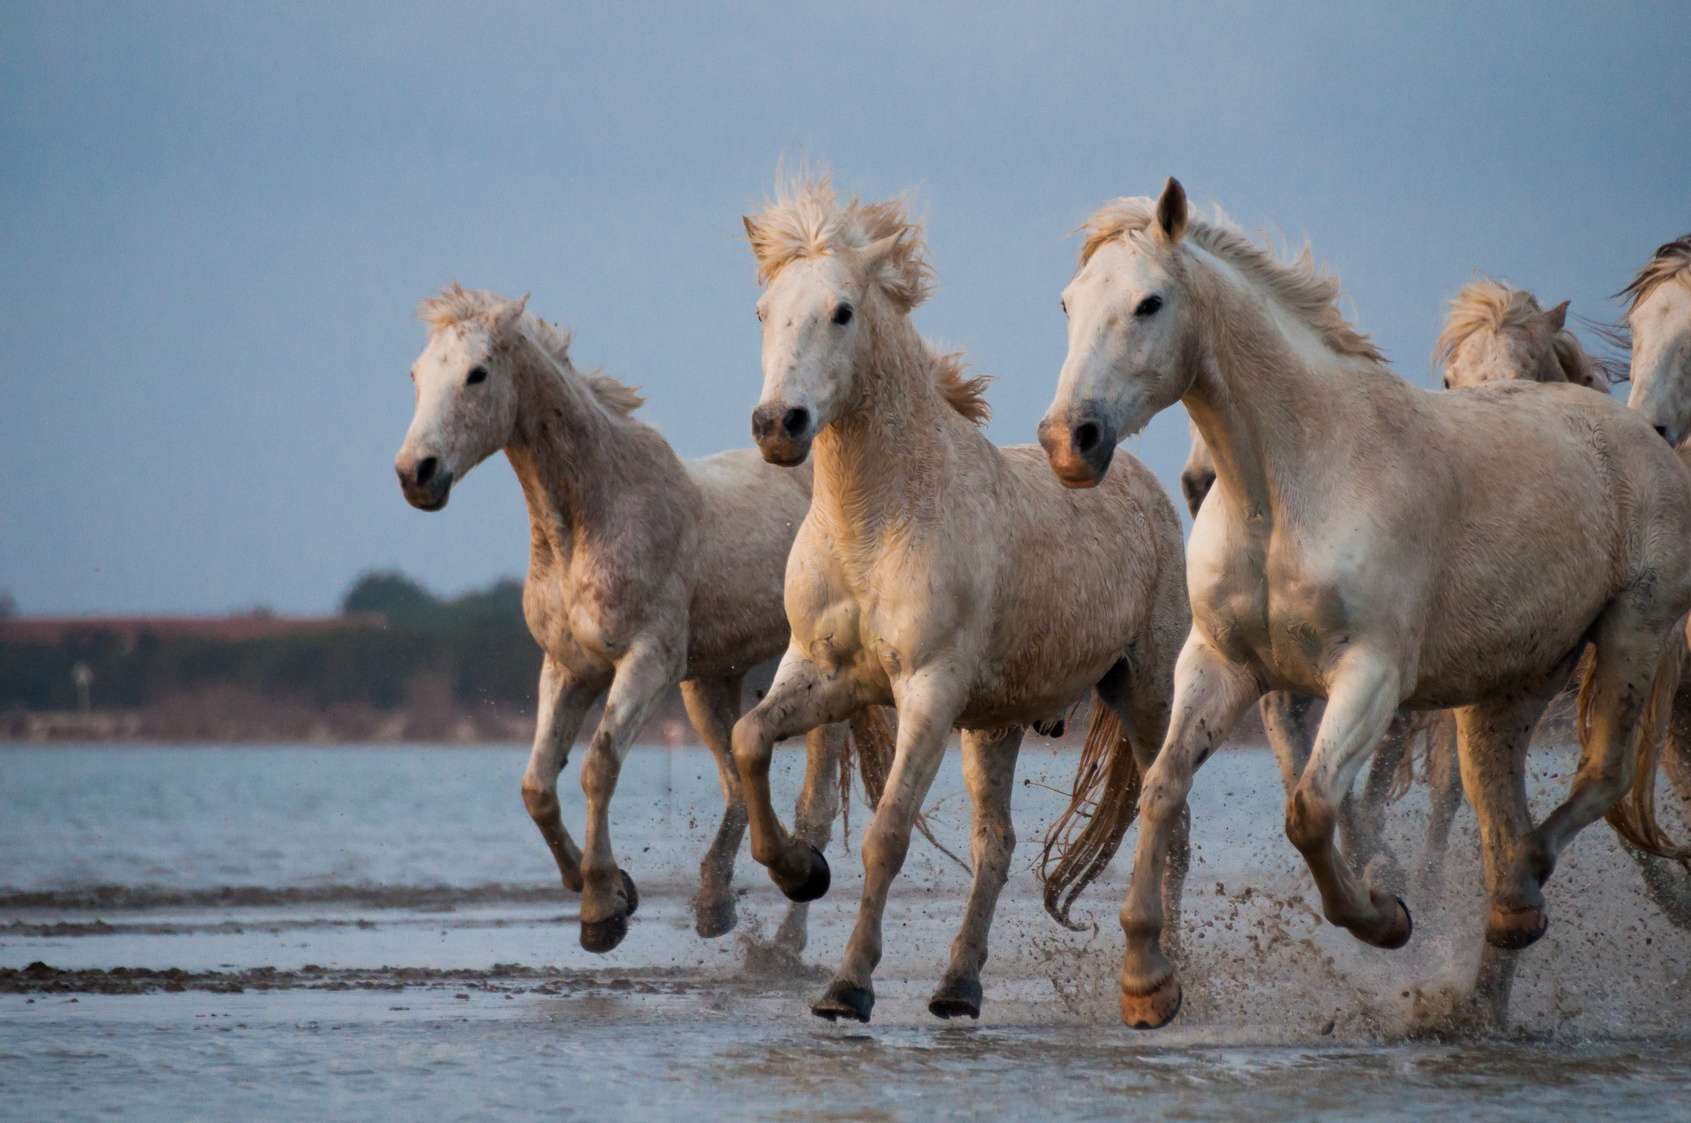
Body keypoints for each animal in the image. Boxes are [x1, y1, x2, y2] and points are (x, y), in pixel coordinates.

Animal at [392, 284, 892, 956]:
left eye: (477, 374)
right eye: (417, 375)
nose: (416, 474)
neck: (591, 519)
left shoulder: (645, 662)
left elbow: (598, 766)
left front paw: (601, 908)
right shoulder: (569, 667)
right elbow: (537, 785)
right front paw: (608, 886)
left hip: (812, 686)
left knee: (811, 808)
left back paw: (787, 930)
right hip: (709, 682)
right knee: (737, 783)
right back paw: (714, 904)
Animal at [729, 175, 1191, 1023]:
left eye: (841, 311)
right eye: (763, 310)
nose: (779, 424)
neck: (876, 520)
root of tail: (1144, 486)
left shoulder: (928, 691)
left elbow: (886, 834)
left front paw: (848, 986)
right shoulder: (821, 671)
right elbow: (749, 738)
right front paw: (799, 868)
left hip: (1147, 692)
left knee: (1168, 829)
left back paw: (1165, 979)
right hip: (996, 724)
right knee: (996, 843)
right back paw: (957, 985)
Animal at [1038, 179, 1691, 1029]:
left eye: (1148, 302)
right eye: (1068, 302)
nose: (1069, 441)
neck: (1286, 487)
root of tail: (1643, 431)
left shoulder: (1371, 676)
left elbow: (1311, 808)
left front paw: (1385, 916)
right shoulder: (1219, 663)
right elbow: (1163, 787)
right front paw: (1147, 983)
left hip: (1630, 634)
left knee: (1601, 774)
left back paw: (1512, 901)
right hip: (1514, 679)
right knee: (1497, 799)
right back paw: (1505, 922)